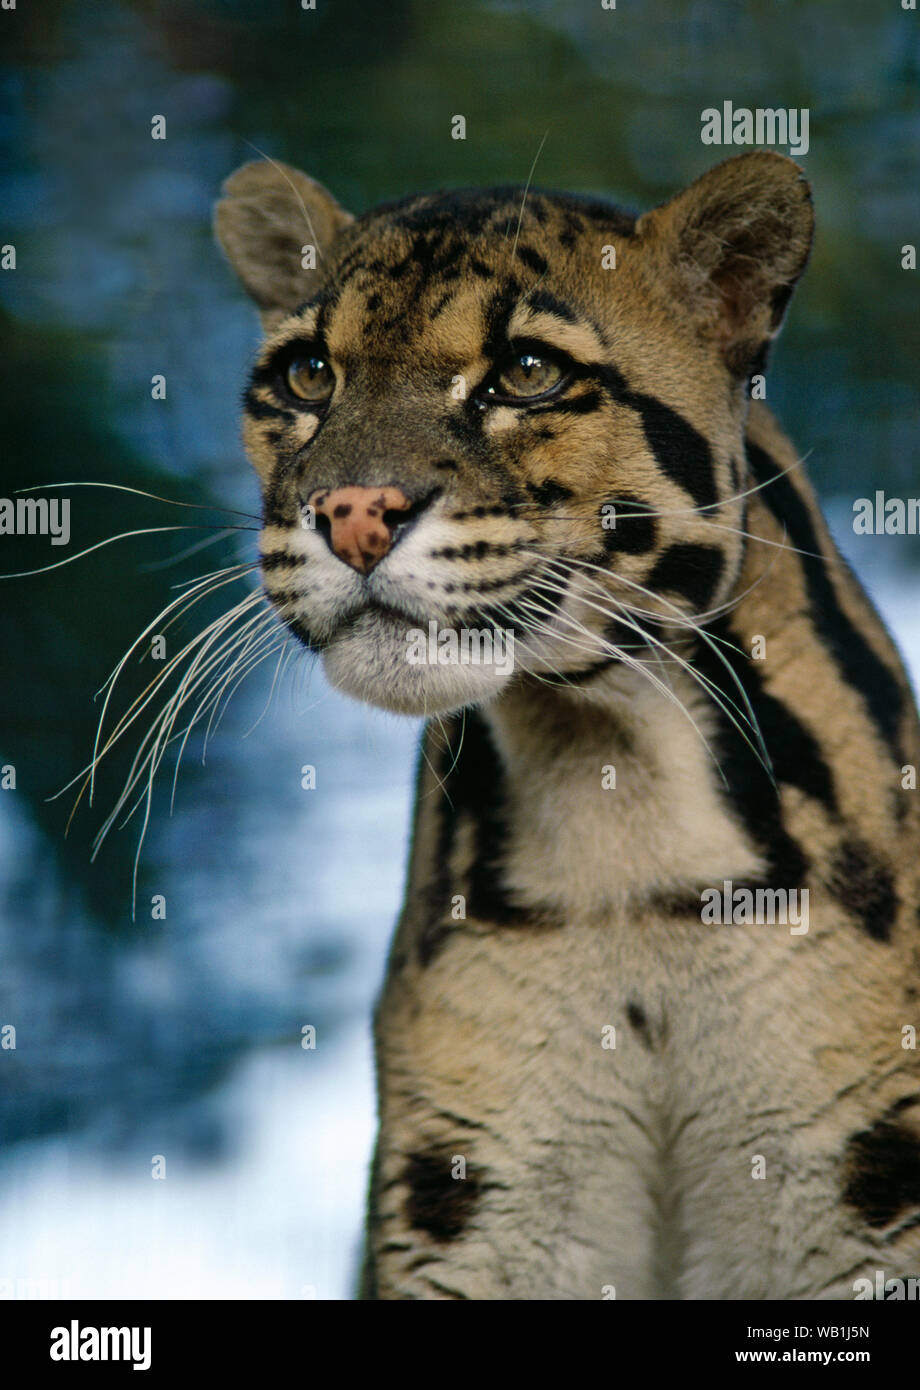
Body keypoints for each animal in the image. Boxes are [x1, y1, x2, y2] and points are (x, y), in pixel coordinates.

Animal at [213, 151, 920, 1299]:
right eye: (308, 376)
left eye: (528, 372)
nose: (351, 513)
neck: (615, 782)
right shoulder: (476, 1195)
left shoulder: (858, 1181)